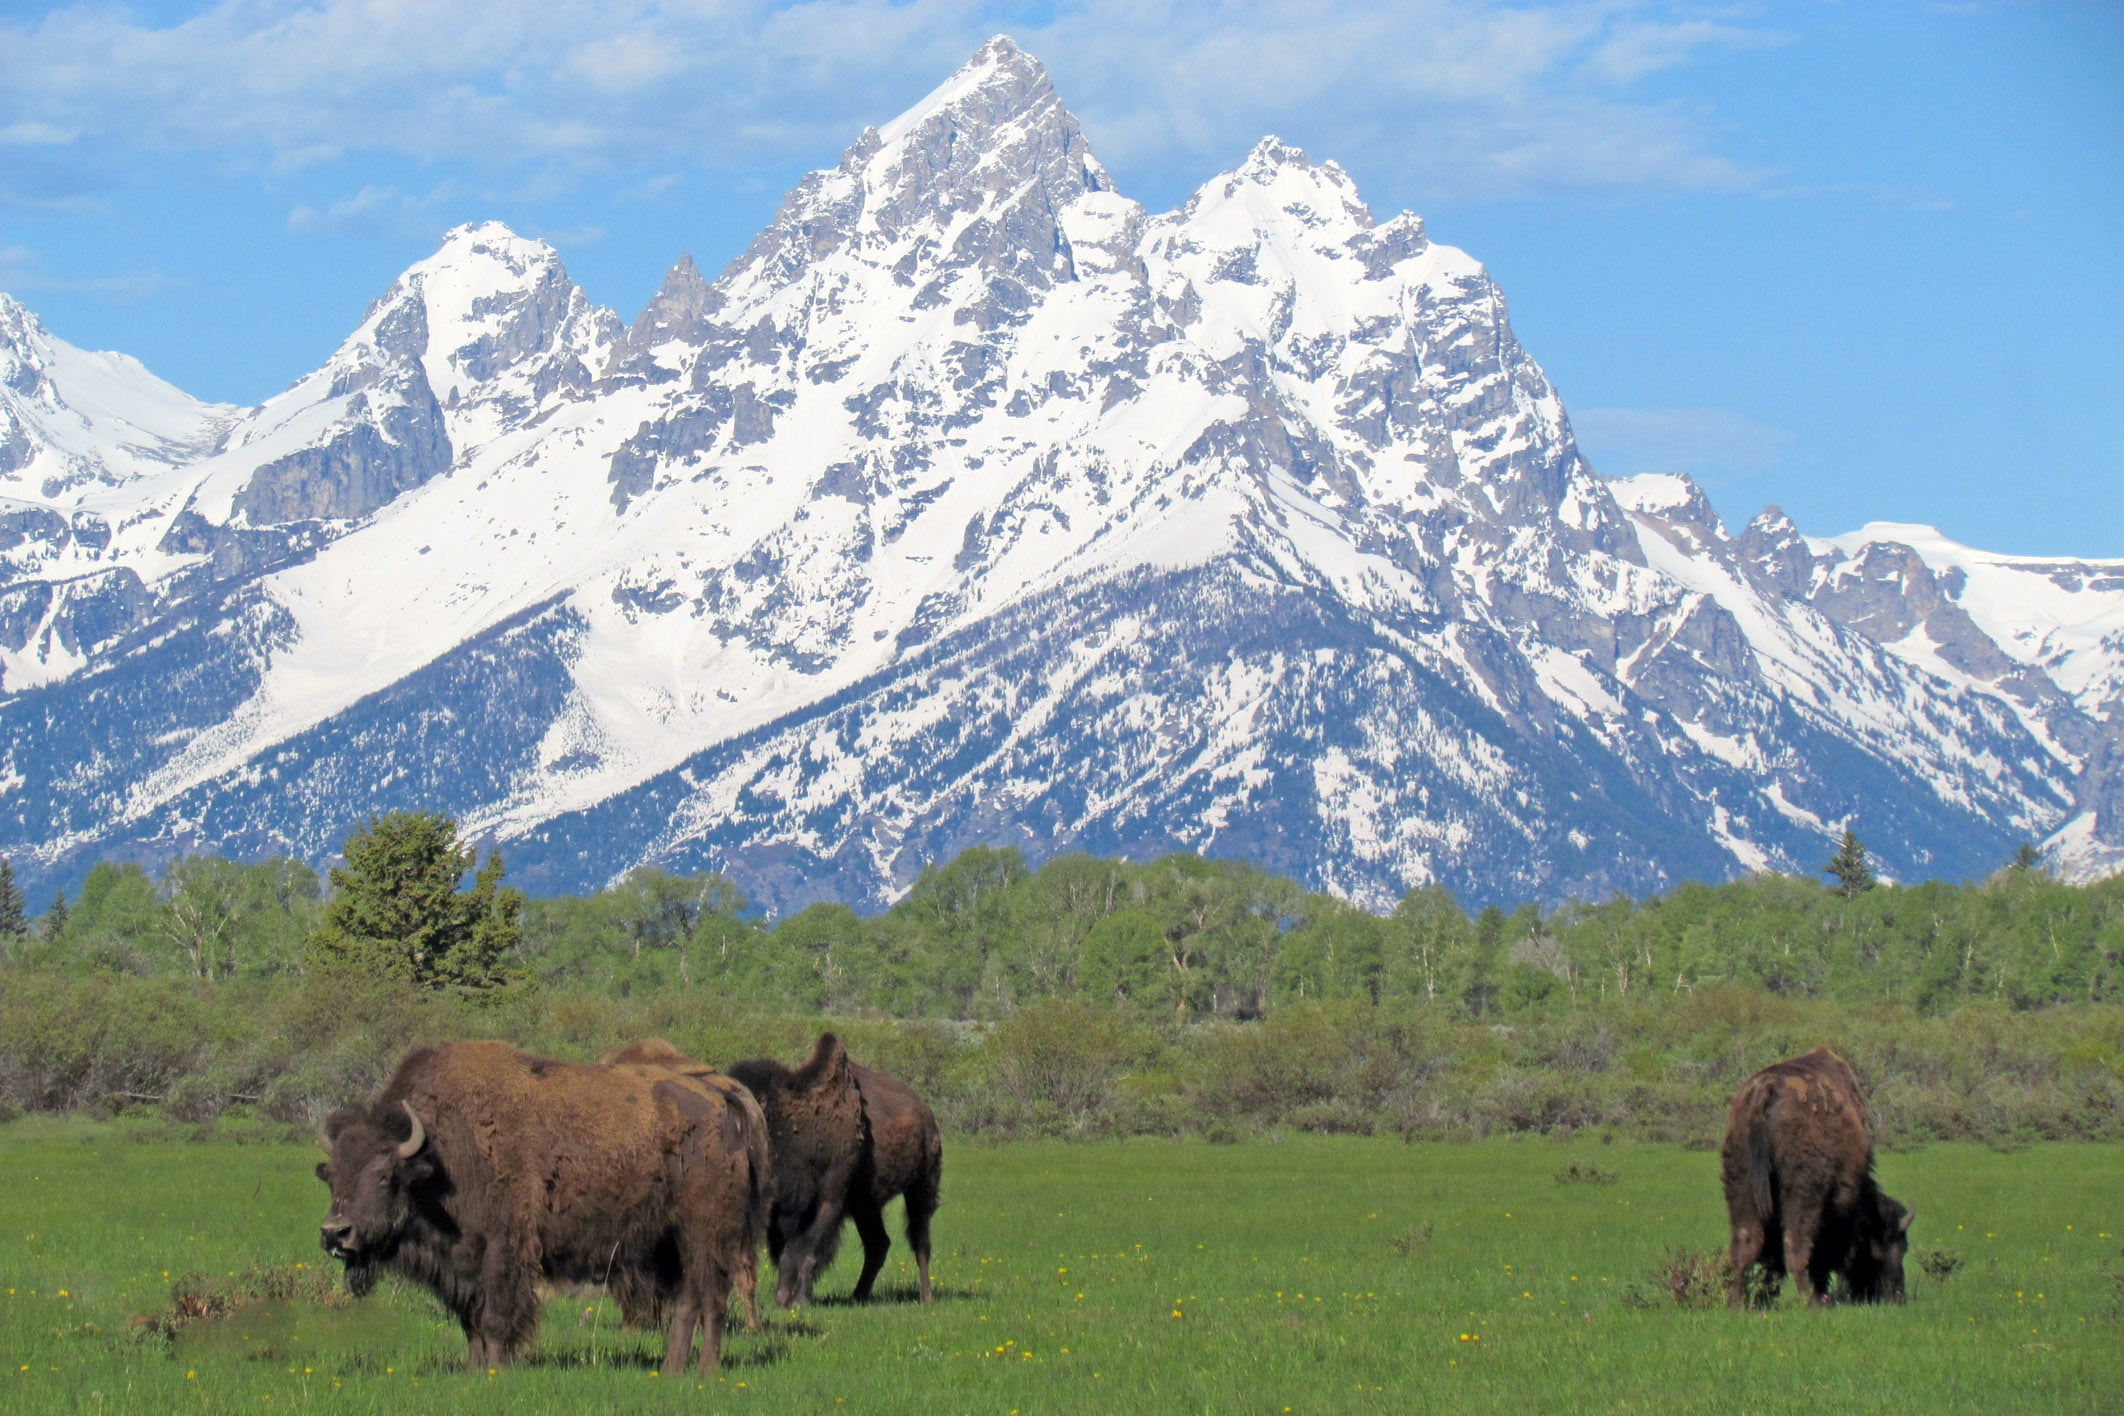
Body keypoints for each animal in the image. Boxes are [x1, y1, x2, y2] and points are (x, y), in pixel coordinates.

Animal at [315, 1040, 762, 1372]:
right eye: (332, 1176)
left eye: (384, 1174)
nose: (335, 1232)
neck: (439, 1154)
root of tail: (721, 1101)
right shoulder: (462, 1264)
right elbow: (470, 1321)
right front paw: (475, 1371)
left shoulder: (504, 1248)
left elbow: (495, 1319)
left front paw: (496, 1371)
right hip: (671, 1240)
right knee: (688, 1300)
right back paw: (671, 1370)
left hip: (706, 1234)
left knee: (712, 1297)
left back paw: (705, 1372)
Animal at [1720, 1046, 1912, 1307]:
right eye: (1898, 1247)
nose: (1897, 1295)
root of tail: (1765, 1092)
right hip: (1803, 1194)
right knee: (1795, 1246)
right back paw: (1811, 1303)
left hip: (1740, 1184)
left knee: (1746, 1241)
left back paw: (1738, 1303)